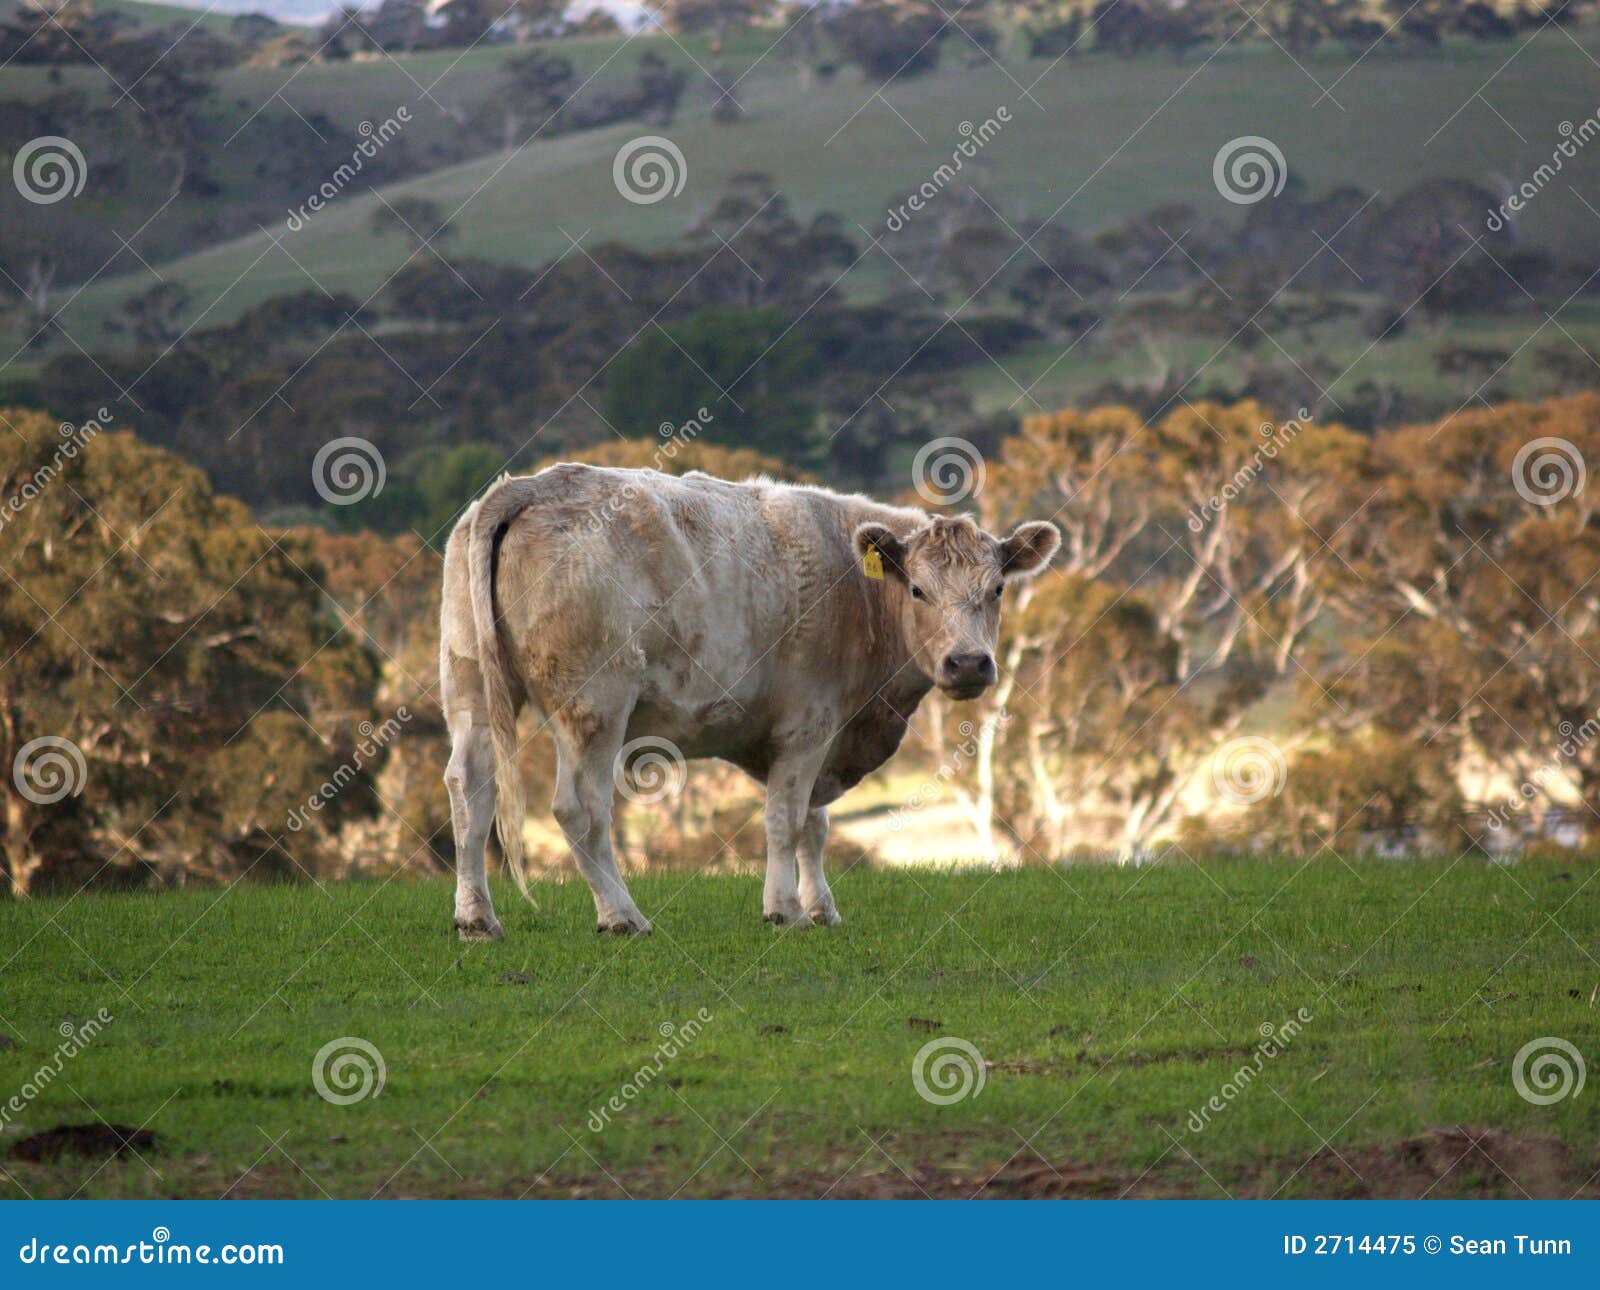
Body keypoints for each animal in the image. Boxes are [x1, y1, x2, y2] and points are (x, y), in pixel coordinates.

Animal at [440, 463, 1060, 940]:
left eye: (997, 590)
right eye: (918, 590)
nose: (969, 663)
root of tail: (532, 485)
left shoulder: (822, 737)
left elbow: (815, 826)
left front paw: (821, 907)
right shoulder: (808, 727)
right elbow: (786, 820)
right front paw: (784, 910)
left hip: (470, 688)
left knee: (470, 792)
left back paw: (477, 919)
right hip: (594, 702)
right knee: (580, 809)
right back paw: (623, 916)